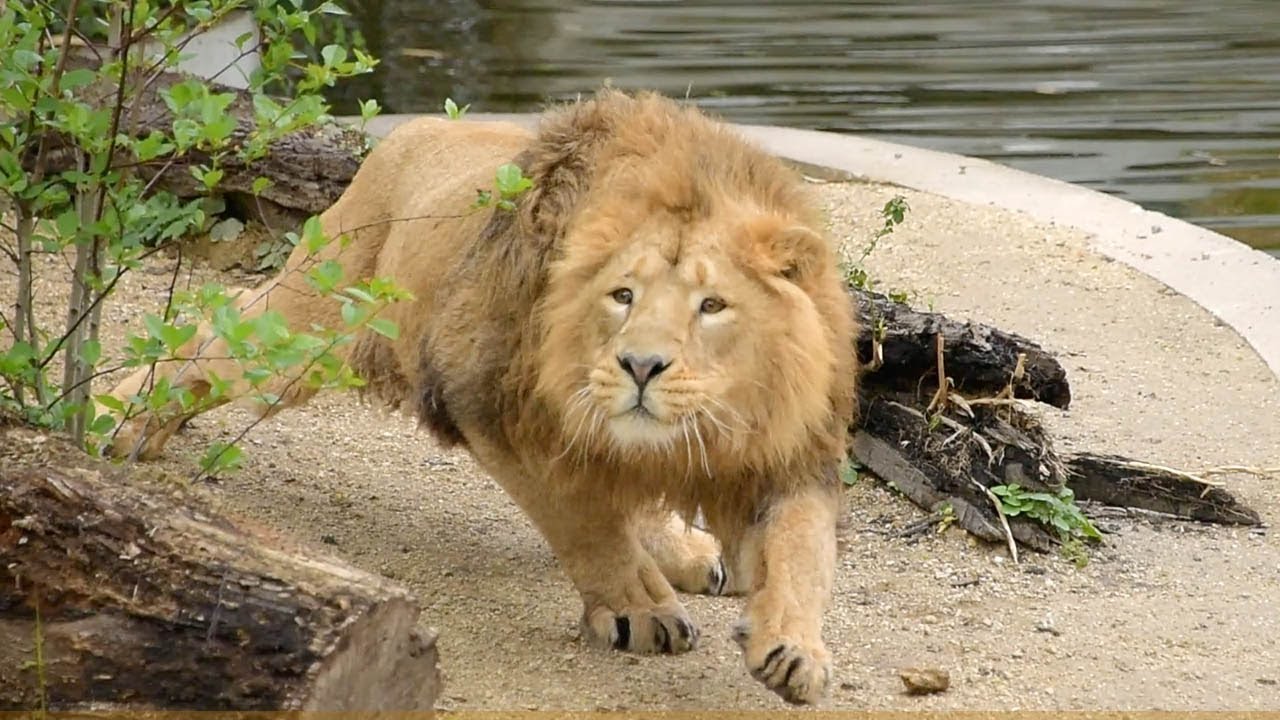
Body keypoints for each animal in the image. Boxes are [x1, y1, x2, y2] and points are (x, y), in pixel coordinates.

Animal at [105, 89, 859, 705]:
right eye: (623, 295)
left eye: (713, 305)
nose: (640, 366)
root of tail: (406, 137)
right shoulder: (490, 409)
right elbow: (585, 523)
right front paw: (640, 610)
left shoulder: (788, 448)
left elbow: (802, 550)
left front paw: (795, 651)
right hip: (308, 328)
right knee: (221, 325)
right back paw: (124, 421)